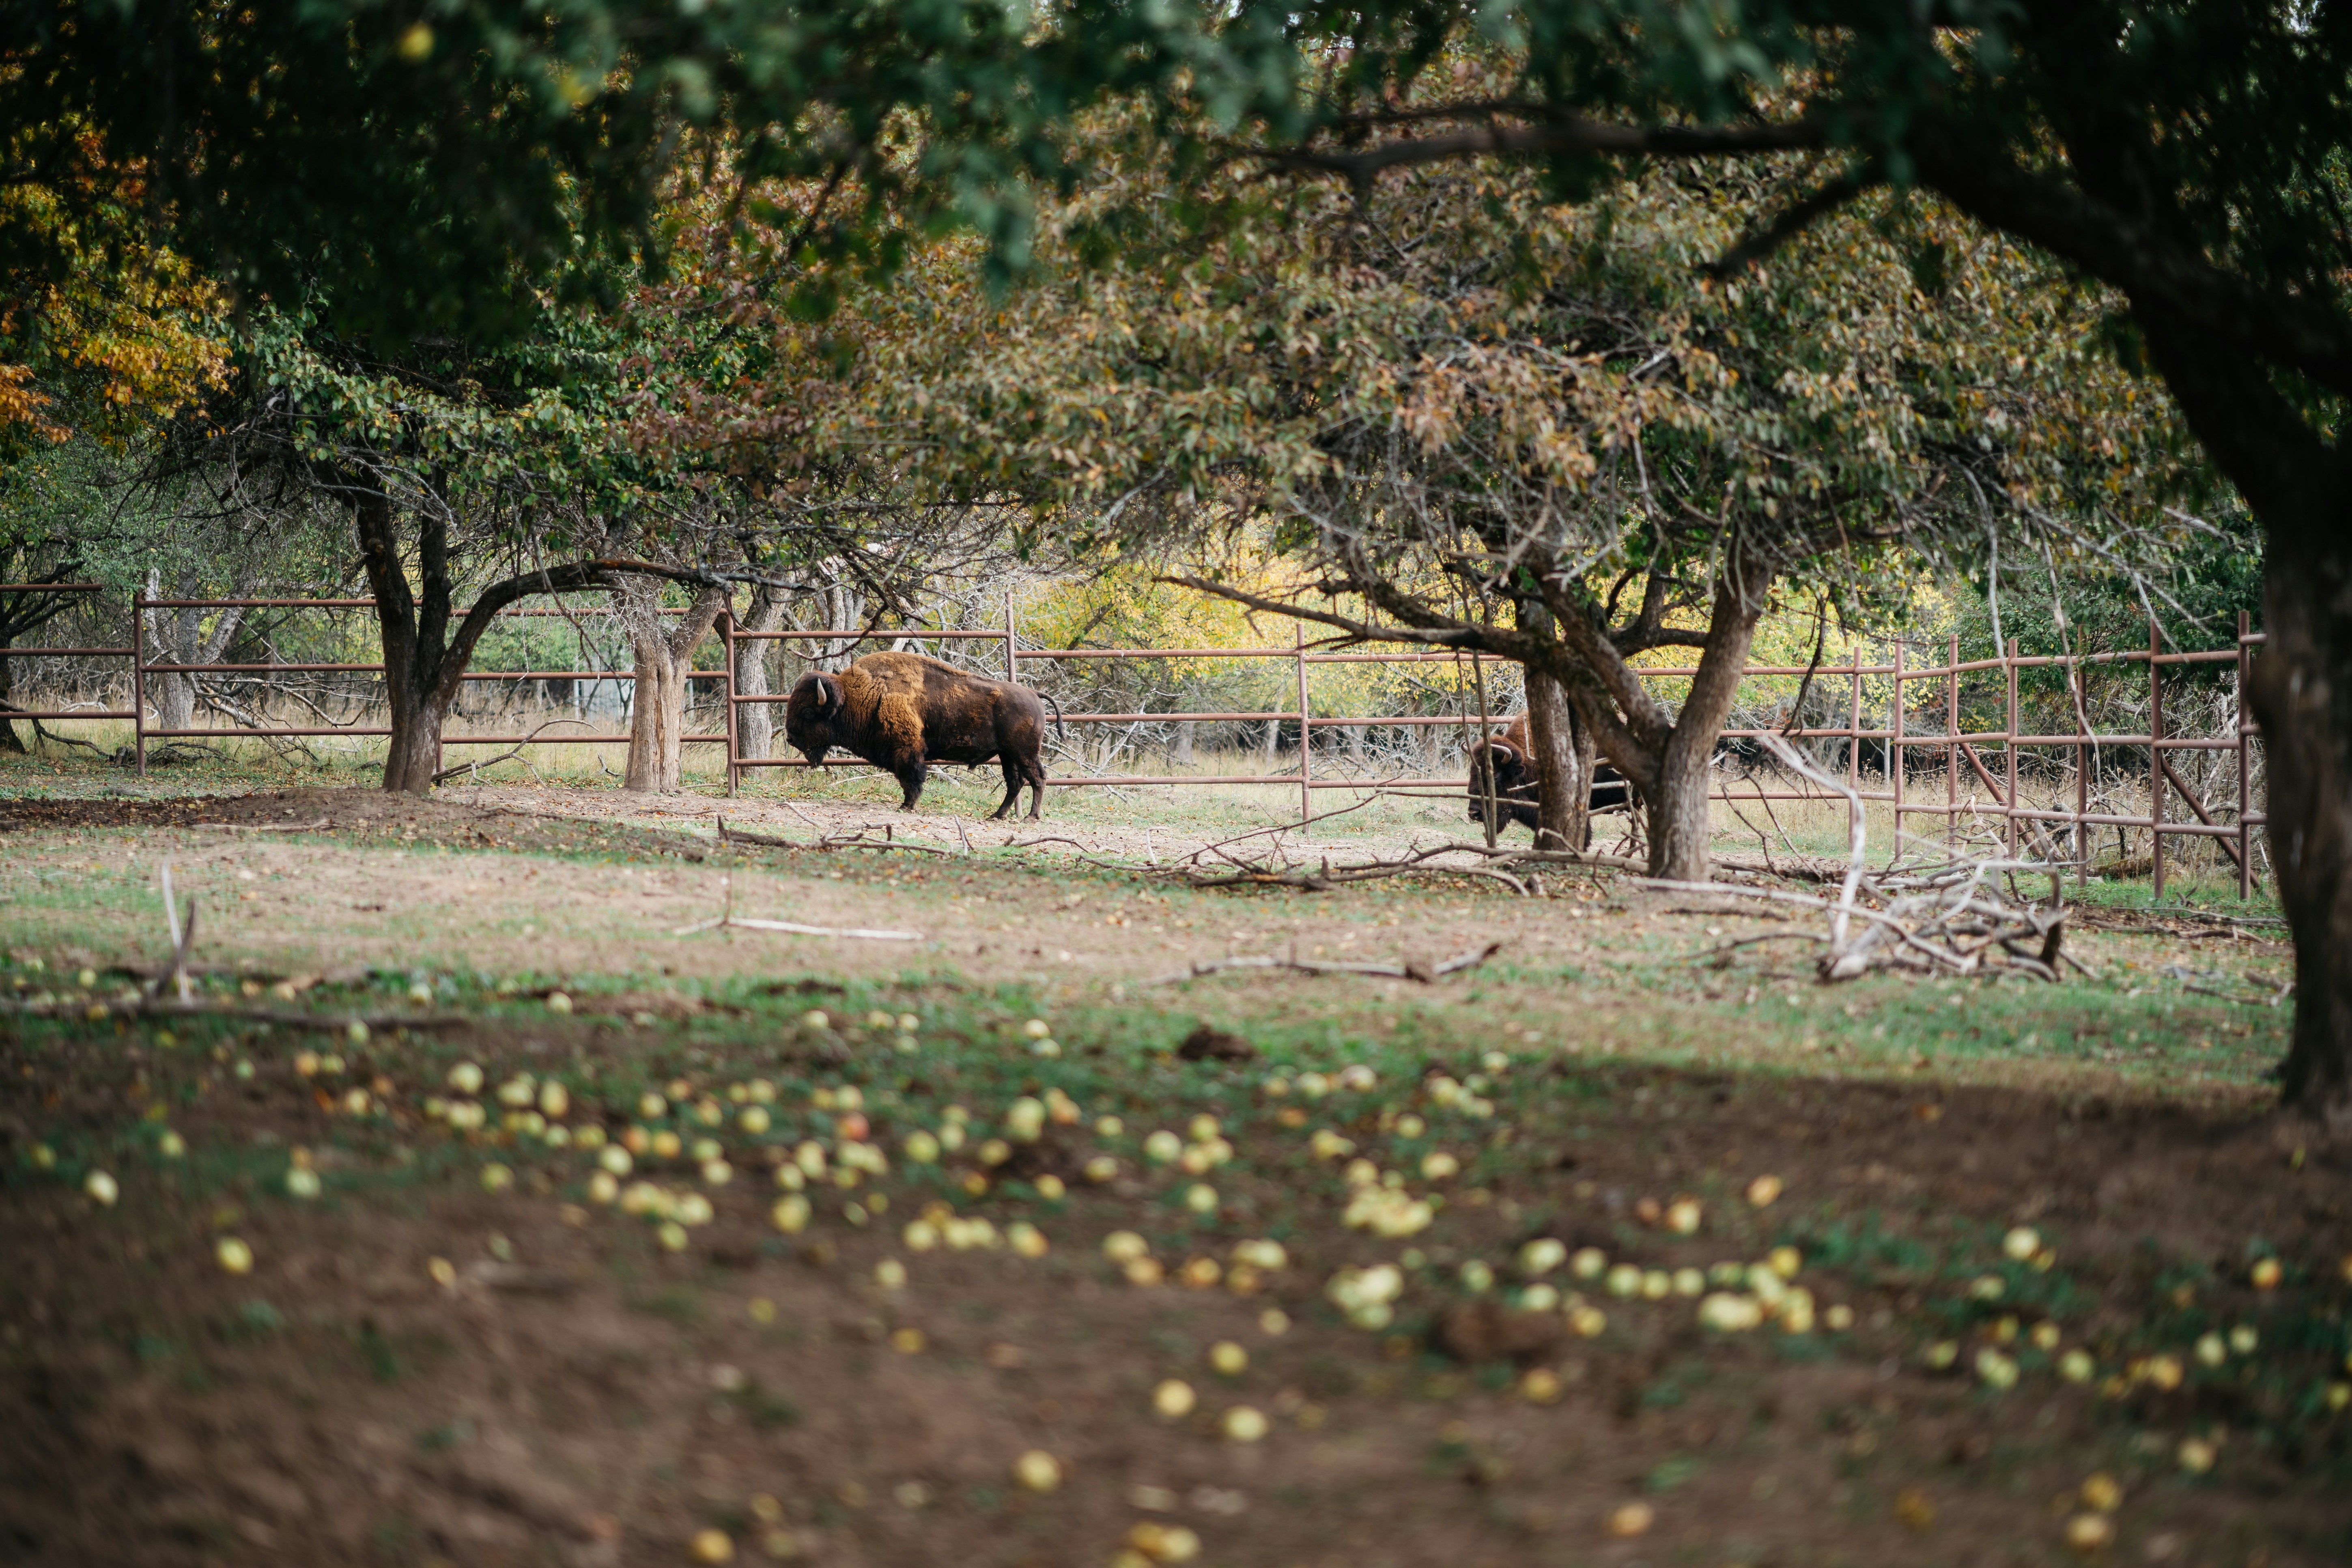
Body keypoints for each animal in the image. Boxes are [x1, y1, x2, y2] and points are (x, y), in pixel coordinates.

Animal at [784, 652, 1064, 819]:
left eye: (807, 712)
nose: (790, 739)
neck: (862, 694)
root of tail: (1034, 695)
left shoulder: (907, 749)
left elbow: (911, 778)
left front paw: (906, 806)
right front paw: (907, 805)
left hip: (1025, 753)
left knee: (1038, 778)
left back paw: (1031, 817)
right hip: (1008, 755)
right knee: (1015, 782)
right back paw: (997, 815)